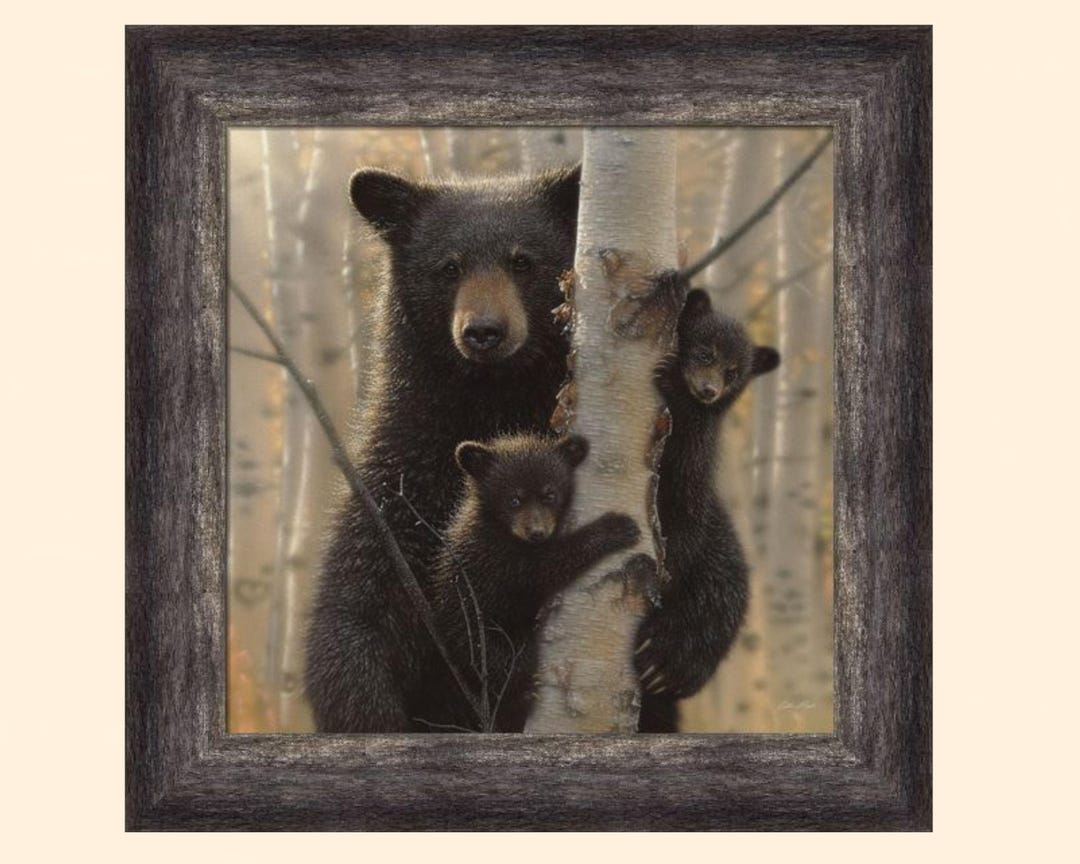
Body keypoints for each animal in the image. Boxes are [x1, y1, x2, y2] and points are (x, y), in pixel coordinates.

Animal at [304, 164, 581, 732]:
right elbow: (353, 614)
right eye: (448, 267)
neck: (492, 403)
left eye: (523, 260)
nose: (484, 331)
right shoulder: (401, 481)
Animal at [411, 433, 642, 732]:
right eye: (514, 499)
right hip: (476, 637)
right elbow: (544, 569)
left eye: (549, 495)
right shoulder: (496, 558)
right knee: (502, 663)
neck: (500, 529)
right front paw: (615, 528)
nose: (536, 532)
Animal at [635, 288, 780, 732]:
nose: (709, 390)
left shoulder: (693, 466)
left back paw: (664, 663)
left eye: (734, 372)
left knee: (716, 605)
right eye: (704, 353)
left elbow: (684, 502)